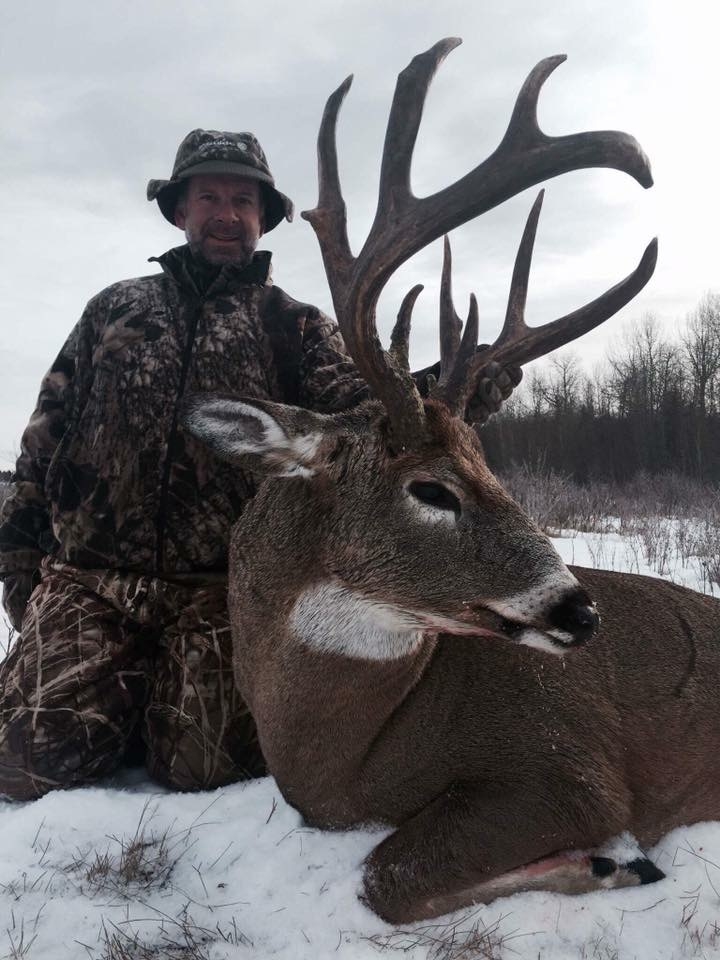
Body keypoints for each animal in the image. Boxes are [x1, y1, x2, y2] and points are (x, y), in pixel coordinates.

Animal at [183, 39, 720, 924]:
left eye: (490, 468)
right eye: (432, 489)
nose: (578, 610)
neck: (341, 759)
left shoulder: (568, 765)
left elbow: (386, 876)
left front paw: (613, 863)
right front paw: (610, 865)